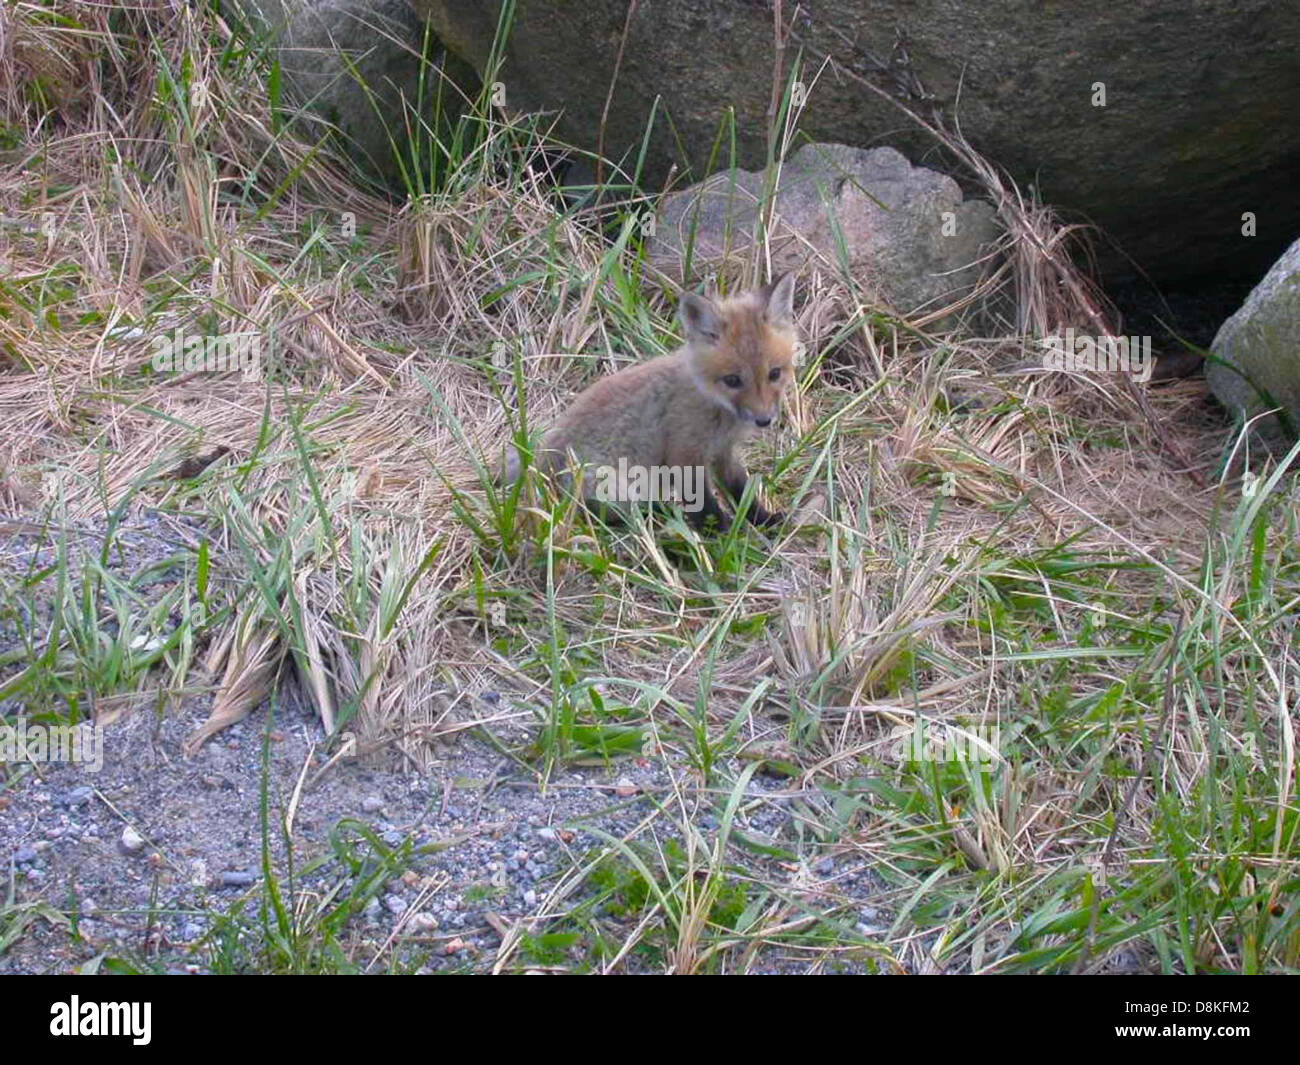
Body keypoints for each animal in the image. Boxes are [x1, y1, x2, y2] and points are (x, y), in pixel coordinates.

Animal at [502, 273, 798, 532]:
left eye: (774, 374)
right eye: (733, 380)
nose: (764, 420)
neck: (715, 406)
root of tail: (540, 464)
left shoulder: (724, 451)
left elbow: (741, 490)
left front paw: (763, 519)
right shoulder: (684, 454)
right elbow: (702, 502)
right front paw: (718, 530)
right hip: (612, 486)